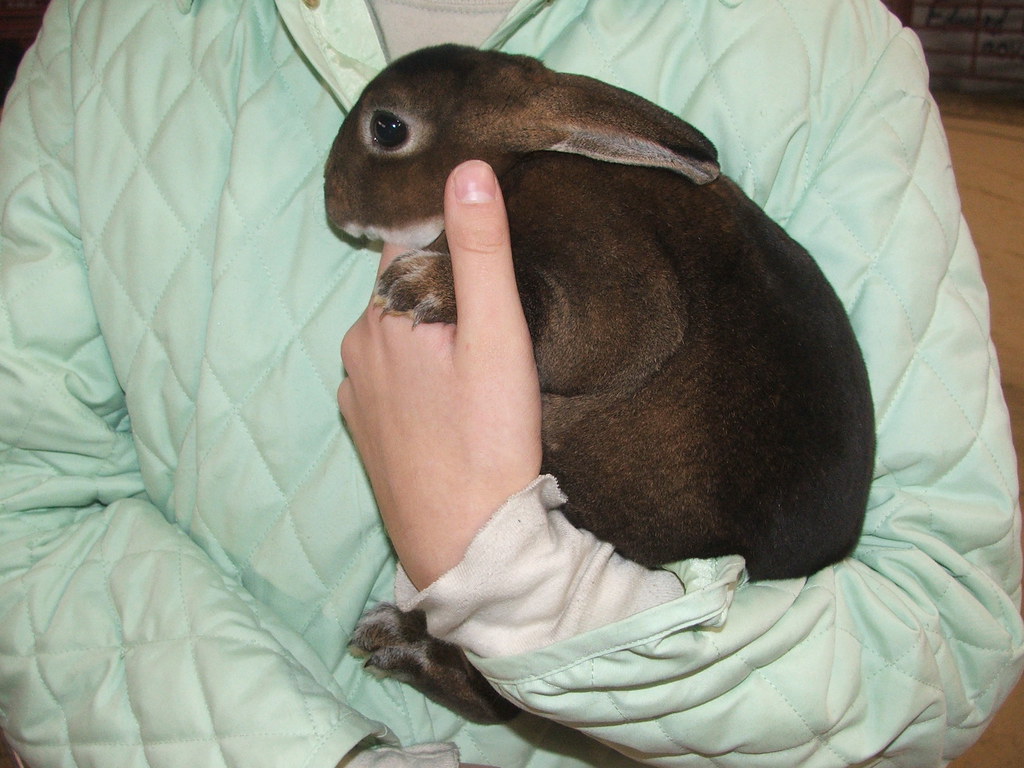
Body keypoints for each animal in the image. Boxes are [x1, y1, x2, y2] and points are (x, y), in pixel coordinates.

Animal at [324, 44, 875, 723]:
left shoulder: (616, 277)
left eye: (387, 128)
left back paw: (398, 643)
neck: (517, 162)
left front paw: (424, 287)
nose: (331, 200)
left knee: (497, 697)